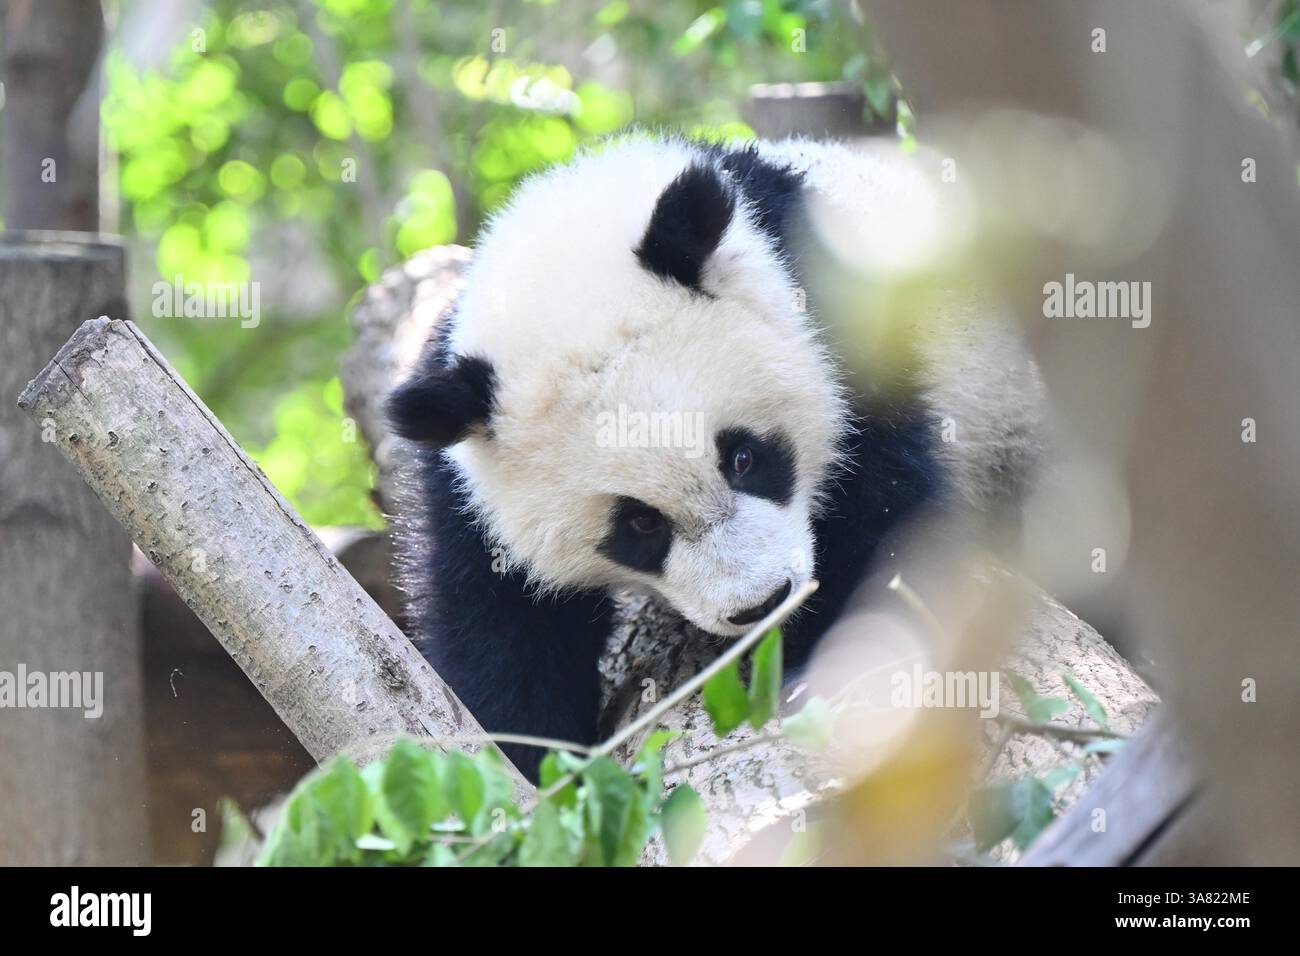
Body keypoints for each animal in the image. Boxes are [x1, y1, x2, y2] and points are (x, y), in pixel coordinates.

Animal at [386, 136, 1044, 781]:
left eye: (744, 458)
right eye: (639, 524)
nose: (764, 601)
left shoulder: (838, 326)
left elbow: (883, 508)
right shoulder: (466, 473)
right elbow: (502, 625)